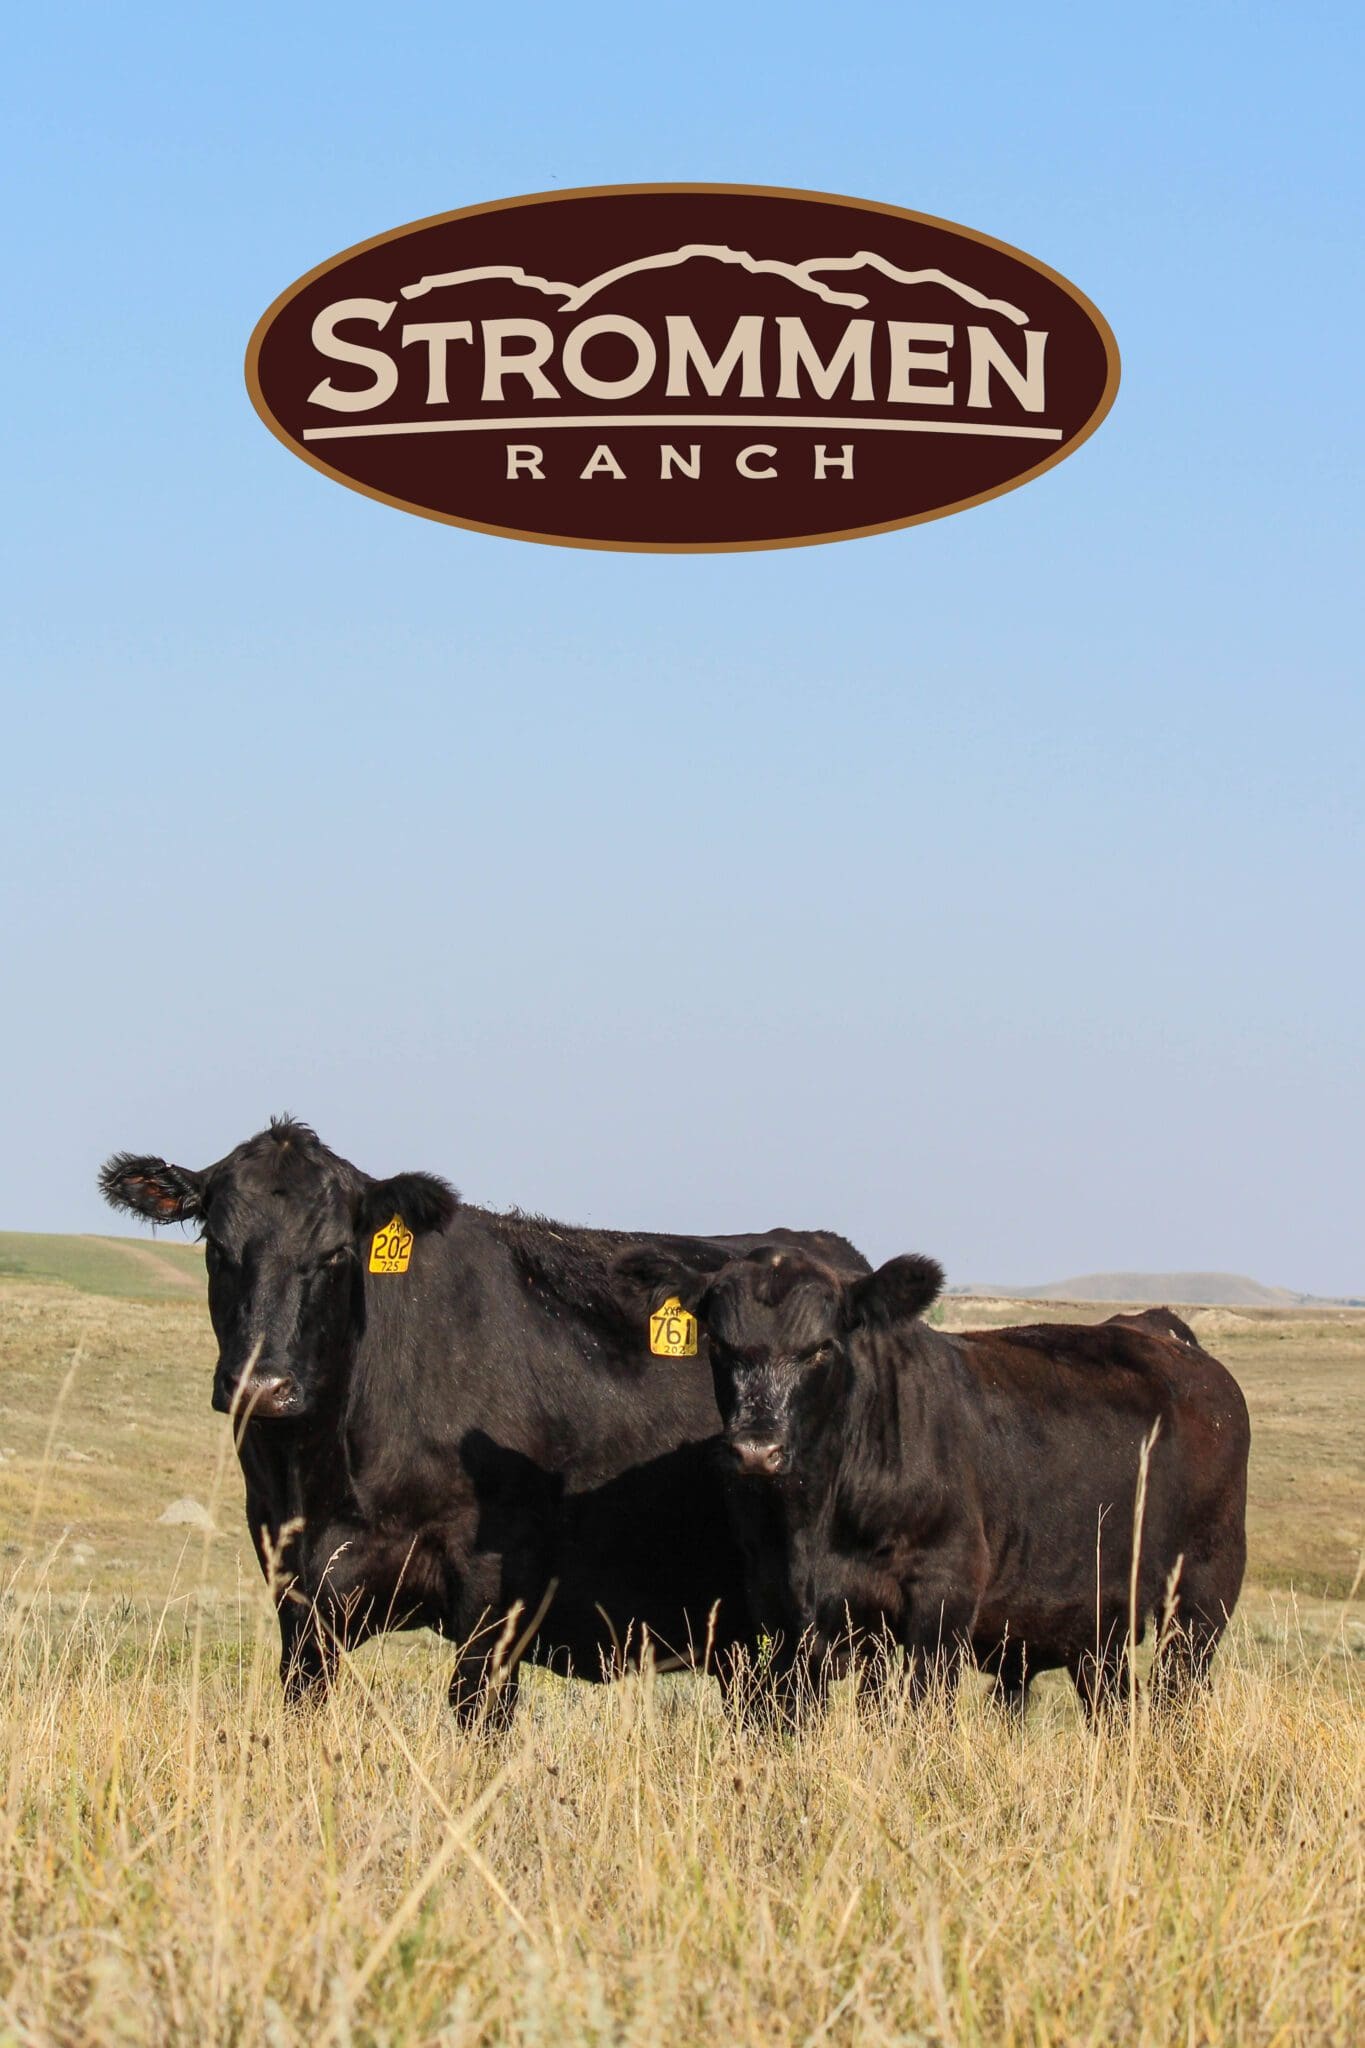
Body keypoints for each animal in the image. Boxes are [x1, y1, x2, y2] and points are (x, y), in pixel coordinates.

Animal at [99, 1118, 868, 1724]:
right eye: (216, 1248)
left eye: (337, 1254)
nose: (263, 1385)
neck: (325, 1474)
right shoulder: (298, 1595)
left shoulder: (493, 1593)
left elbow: (478, 1715)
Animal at [615, 1244, 1250, 1720]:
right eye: (720, 1346)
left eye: (821, 1348)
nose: (756, 1450)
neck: (814, 1518)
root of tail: (1161, 1331)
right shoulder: (784, 1608)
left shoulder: (942, 1598)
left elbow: (920, 1713)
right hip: (1101, 1623)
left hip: (1203, 1593)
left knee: (1177, 1693)